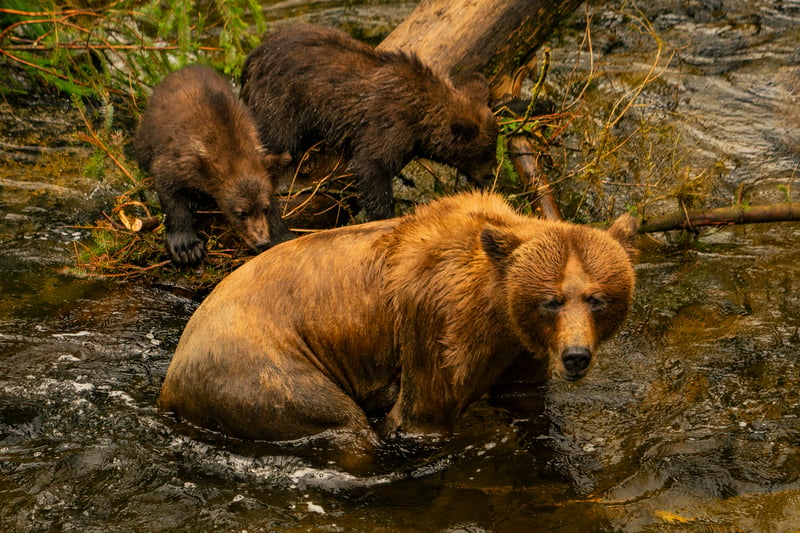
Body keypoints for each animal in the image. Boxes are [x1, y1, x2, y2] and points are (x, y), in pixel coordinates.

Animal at [134, 64, 294, 267]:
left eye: (264, 208)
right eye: (240, 213)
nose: (261, 241)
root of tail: (183, 69)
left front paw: (282, 235)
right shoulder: (183, 160)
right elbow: (168, 185)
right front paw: (187, 248)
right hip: (148, 131)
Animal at [158, 191, 638, 445]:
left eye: (597, 299)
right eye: (551, 300)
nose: (576, 356)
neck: (497, 305)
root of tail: (172, 379)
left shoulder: (517, 349)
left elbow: (525, 399)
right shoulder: (439, 323)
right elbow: (422, 414)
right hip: (261, 372)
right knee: (339, 421)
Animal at [239, 23, 499, 221]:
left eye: (491, 150)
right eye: (484, 153)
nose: (489, 176)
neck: (420, 117)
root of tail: (251, 59)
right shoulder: (387, 124)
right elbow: (371, 167)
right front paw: (384, 214)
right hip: (282, 101)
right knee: (276, 140)